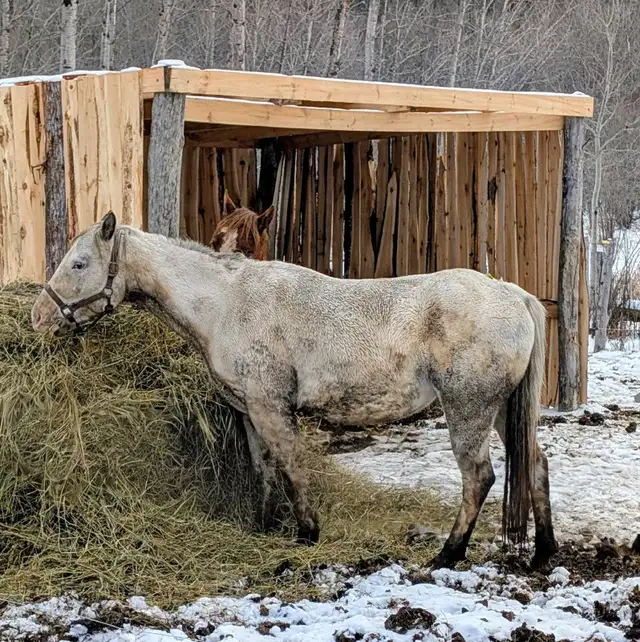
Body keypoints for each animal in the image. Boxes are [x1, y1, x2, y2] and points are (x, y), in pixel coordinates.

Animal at [31, 212, 557, 570]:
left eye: (79, 263)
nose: (39, 316)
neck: (227, 303)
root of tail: (514, 294)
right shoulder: (249, 412)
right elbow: (263, 468)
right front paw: (265, 525)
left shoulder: (271, 407)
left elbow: (290, 466)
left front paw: (307, 532)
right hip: (504, 411)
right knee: (535, 465)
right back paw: (543, 553)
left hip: (469, 410)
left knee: (479, 478)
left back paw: (447, 555)